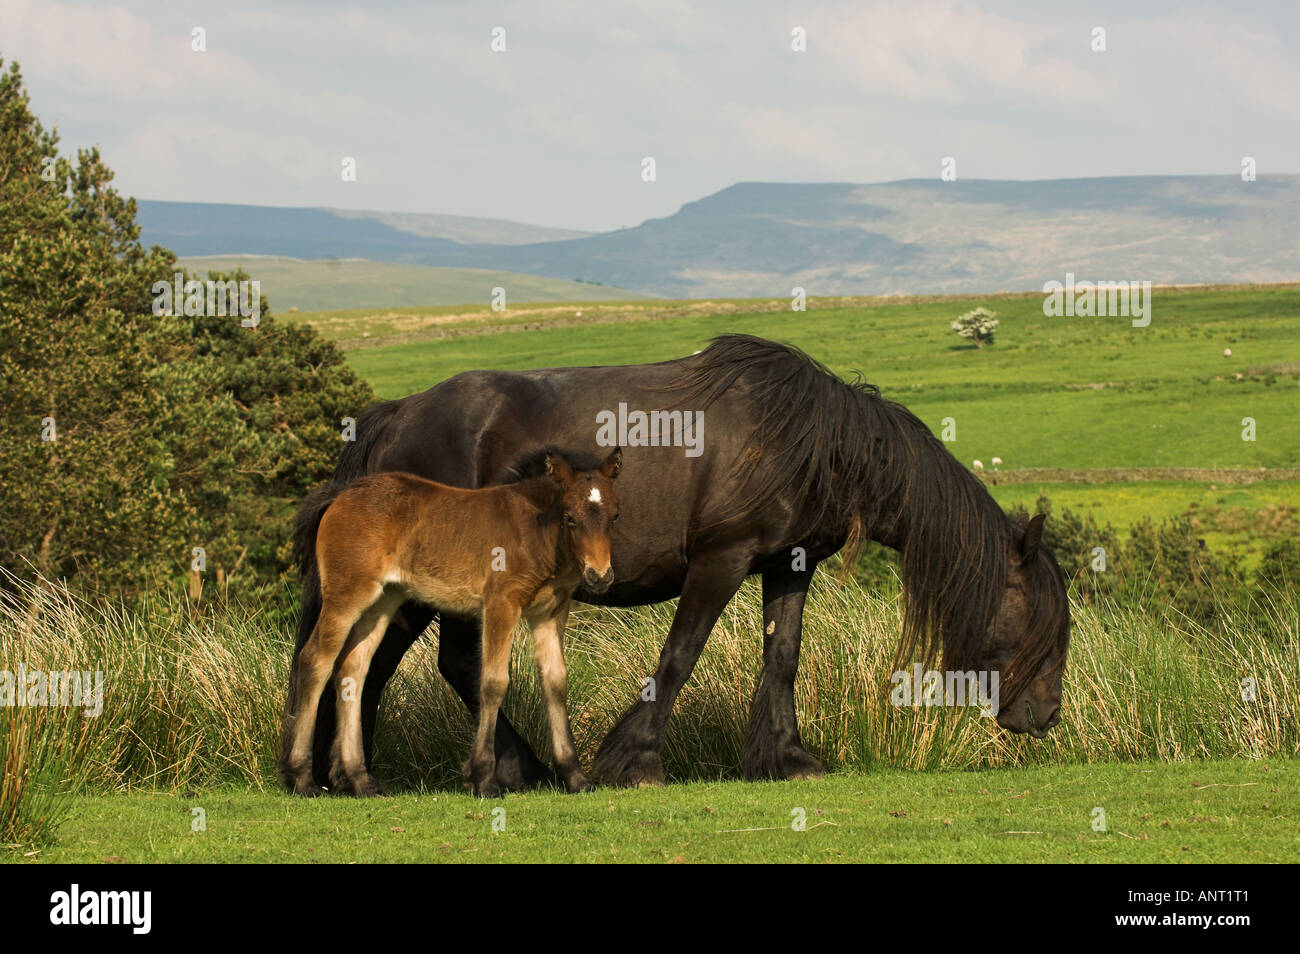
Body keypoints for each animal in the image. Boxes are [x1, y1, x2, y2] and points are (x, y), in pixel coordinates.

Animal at [280, 446, 623, 798]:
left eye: (614, 516)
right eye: (570, 517)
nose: (599, 576)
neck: (536, 531)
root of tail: (339, 497)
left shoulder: (550, 612)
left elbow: (555, 682)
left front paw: (575, 776)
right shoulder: (500, 603)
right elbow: (493, 682)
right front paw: (483, 777)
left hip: (383, 601)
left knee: (352, 668)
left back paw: (360, 779)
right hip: (346, 594)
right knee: (315, 661)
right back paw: (302, 777)